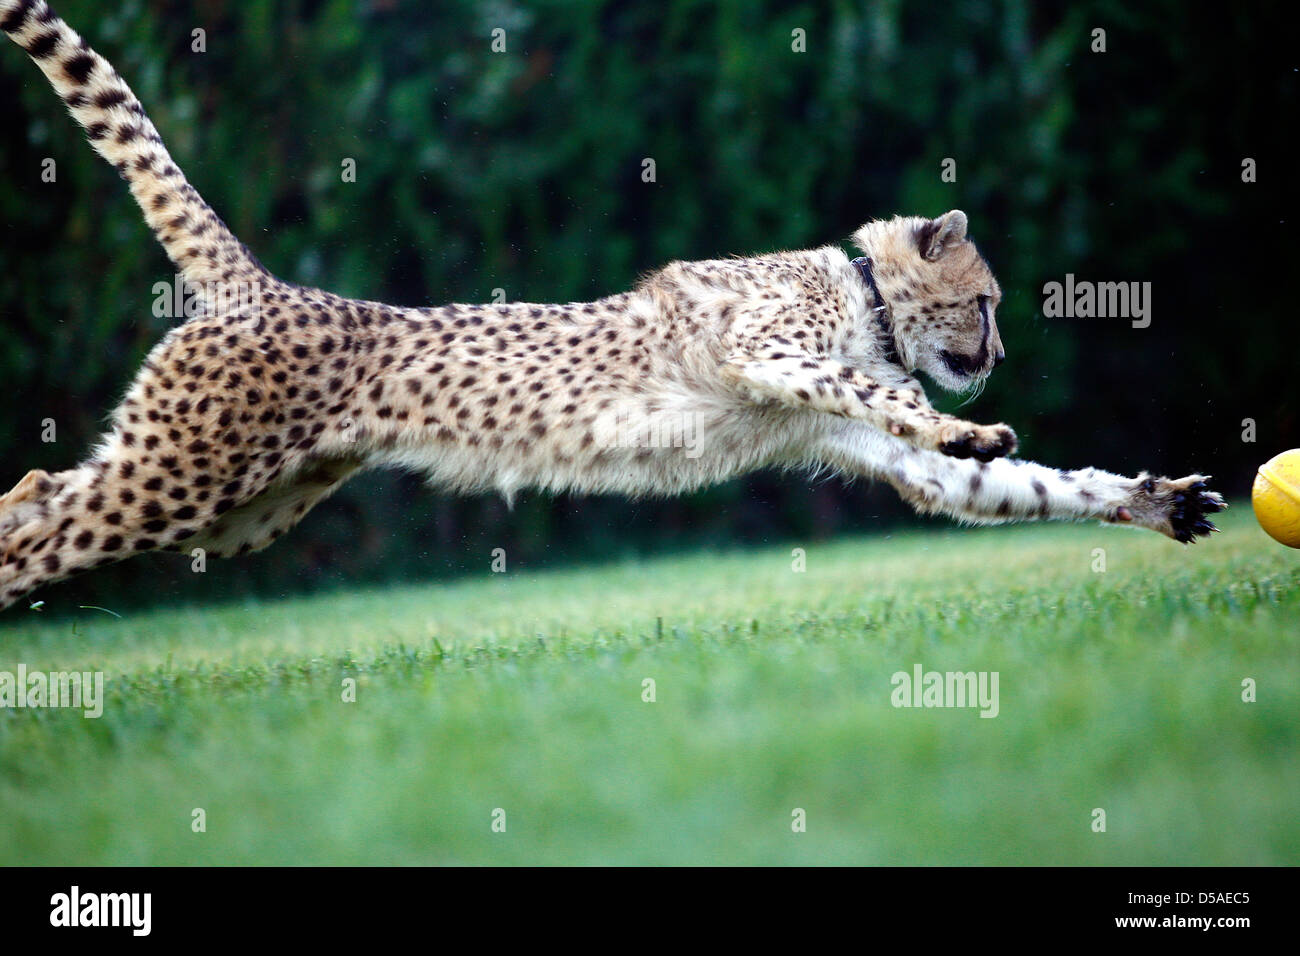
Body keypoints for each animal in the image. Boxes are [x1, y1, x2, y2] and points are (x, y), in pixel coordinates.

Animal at [0, 0, 1224, 611]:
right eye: (983, 304)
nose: (999, 354)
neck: (864, 291)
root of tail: (270, 284)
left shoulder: (837, 424)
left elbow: (1021, 485)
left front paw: (1154, 498)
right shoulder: (771, 355)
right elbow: (905, 410)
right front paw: (968, 422)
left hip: (243, 505)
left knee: (35, 492)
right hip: (185, 478)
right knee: (45, 526)